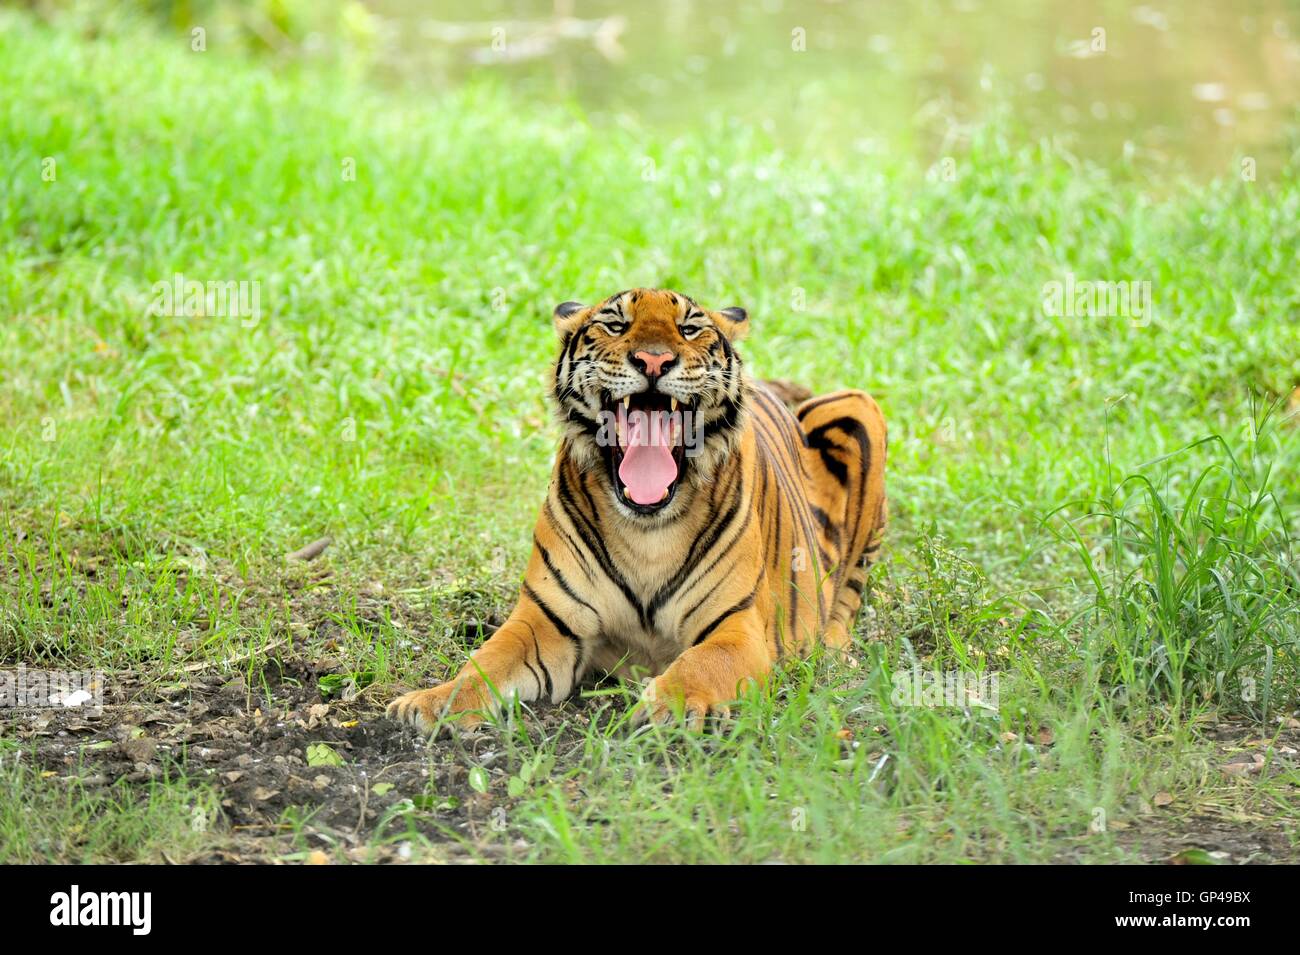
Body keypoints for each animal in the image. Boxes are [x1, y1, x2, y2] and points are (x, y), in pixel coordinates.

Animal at [388, 288, 887, 732]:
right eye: (616, 325)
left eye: (688, 329)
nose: (653, 361)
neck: (647, 529)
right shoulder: (548, 619)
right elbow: (486, 662)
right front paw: (433, 704)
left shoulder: (737, 627)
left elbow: (702, 663)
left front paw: (671, 706)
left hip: (857, 406)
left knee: (846, 595)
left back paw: (833, 650)